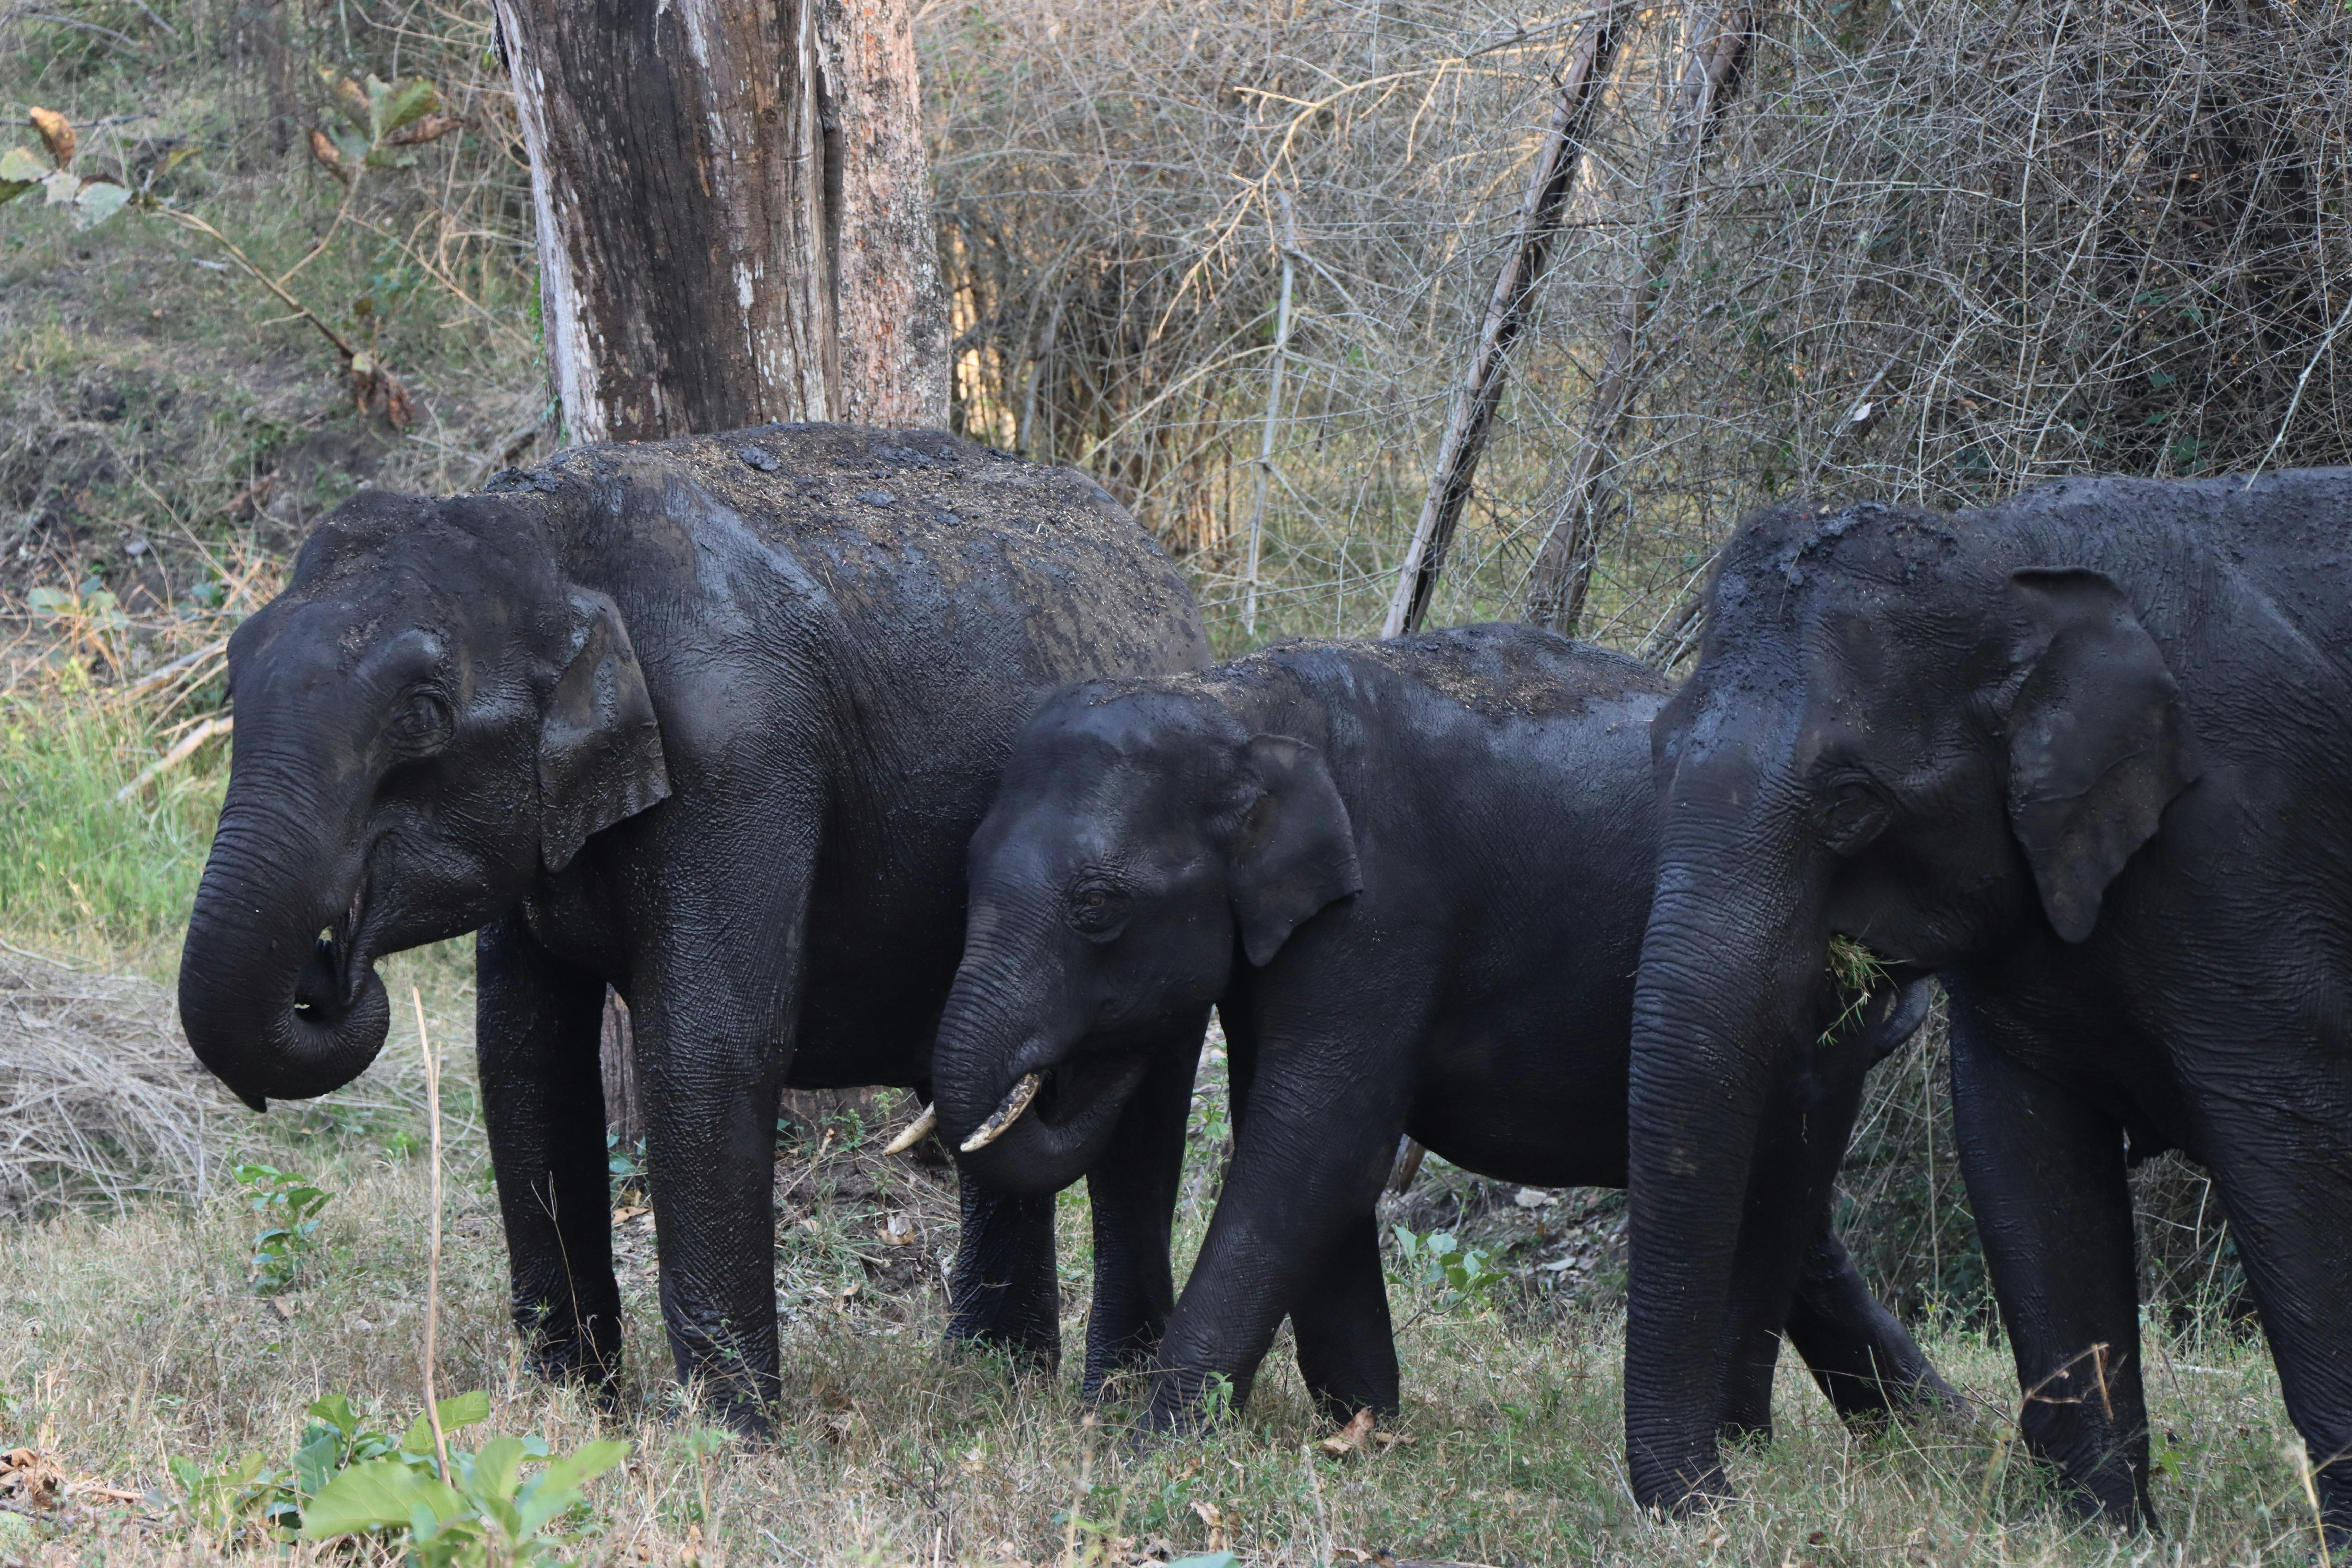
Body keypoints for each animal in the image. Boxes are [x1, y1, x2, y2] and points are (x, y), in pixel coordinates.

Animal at [177, 423, 1211, 1428]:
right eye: (233, 669)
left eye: (423, 717)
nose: (328, 970)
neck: (553, 529)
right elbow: (524, 1060)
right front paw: (568, 1408)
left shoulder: (740, 757)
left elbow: (707, 1047)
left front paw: (726, 1435)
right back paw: (990, 1381)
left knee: (1143, 1108)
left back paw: (1104, 1401)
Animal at [929, 623, 1950, 1434]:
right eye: (965, 865)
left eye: (1099, 907)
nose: (1104, 1056)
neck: (1242, 696)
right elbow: (1305, 1138)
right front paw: (1364, 1424)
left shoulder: (1387, 910)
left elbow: (1319, 1141)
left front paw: (1156, 1444)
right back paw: (1932, 1433)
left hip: (1820, 986)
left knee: (1783, 1180)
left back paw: (1755, 1438)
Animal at [1623, 470, 2352, 1540]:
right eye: (1661, 752)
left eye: (1852, 804)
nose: (1718, 1496)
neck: (2008, 554)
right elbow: (2022, 1149)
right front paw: (2104, 1535)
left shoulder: (2251, 846)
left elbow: (2291, 1152)